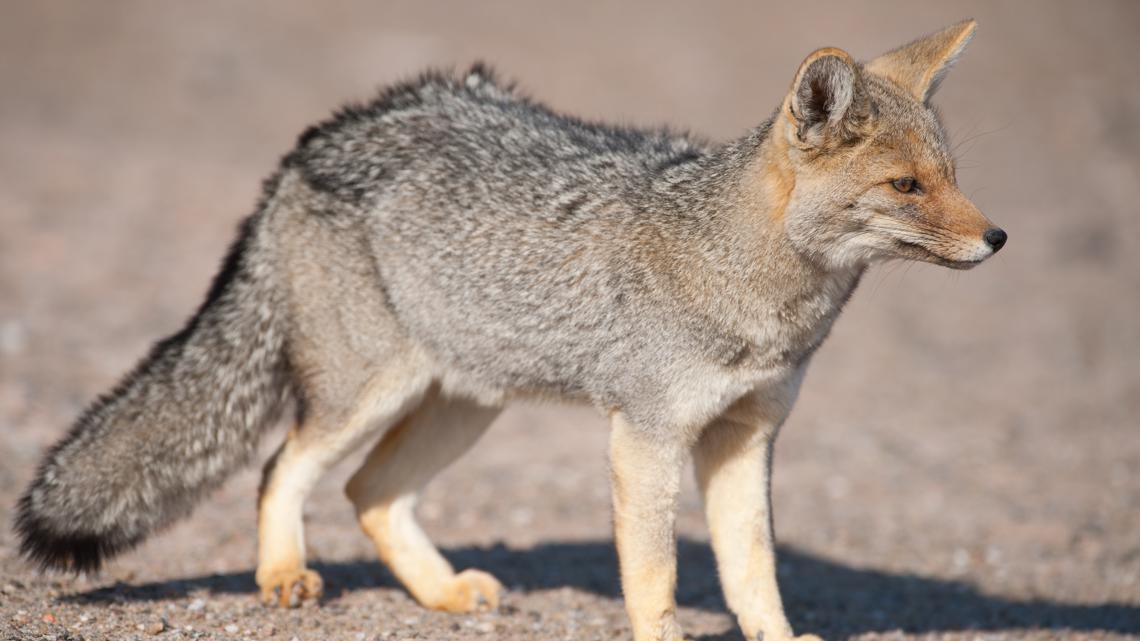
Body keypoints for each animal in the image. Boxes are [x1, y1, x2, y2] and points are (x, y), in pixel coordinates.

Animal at [15, 19, 1002, 641]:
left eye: (952, 176)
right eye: (906, 186)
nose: (997, 238)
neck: (752, 284)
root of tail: (325, 135)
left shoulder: (746, 435)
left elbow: (752, 568)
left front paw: (775, 634)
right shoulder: (647, 435)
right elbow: (657, 573)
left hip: (466, 405)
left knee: (370, 493)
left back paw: (442, 590)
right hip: (368, 395)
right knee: (281, 468)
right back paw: (281, 573)